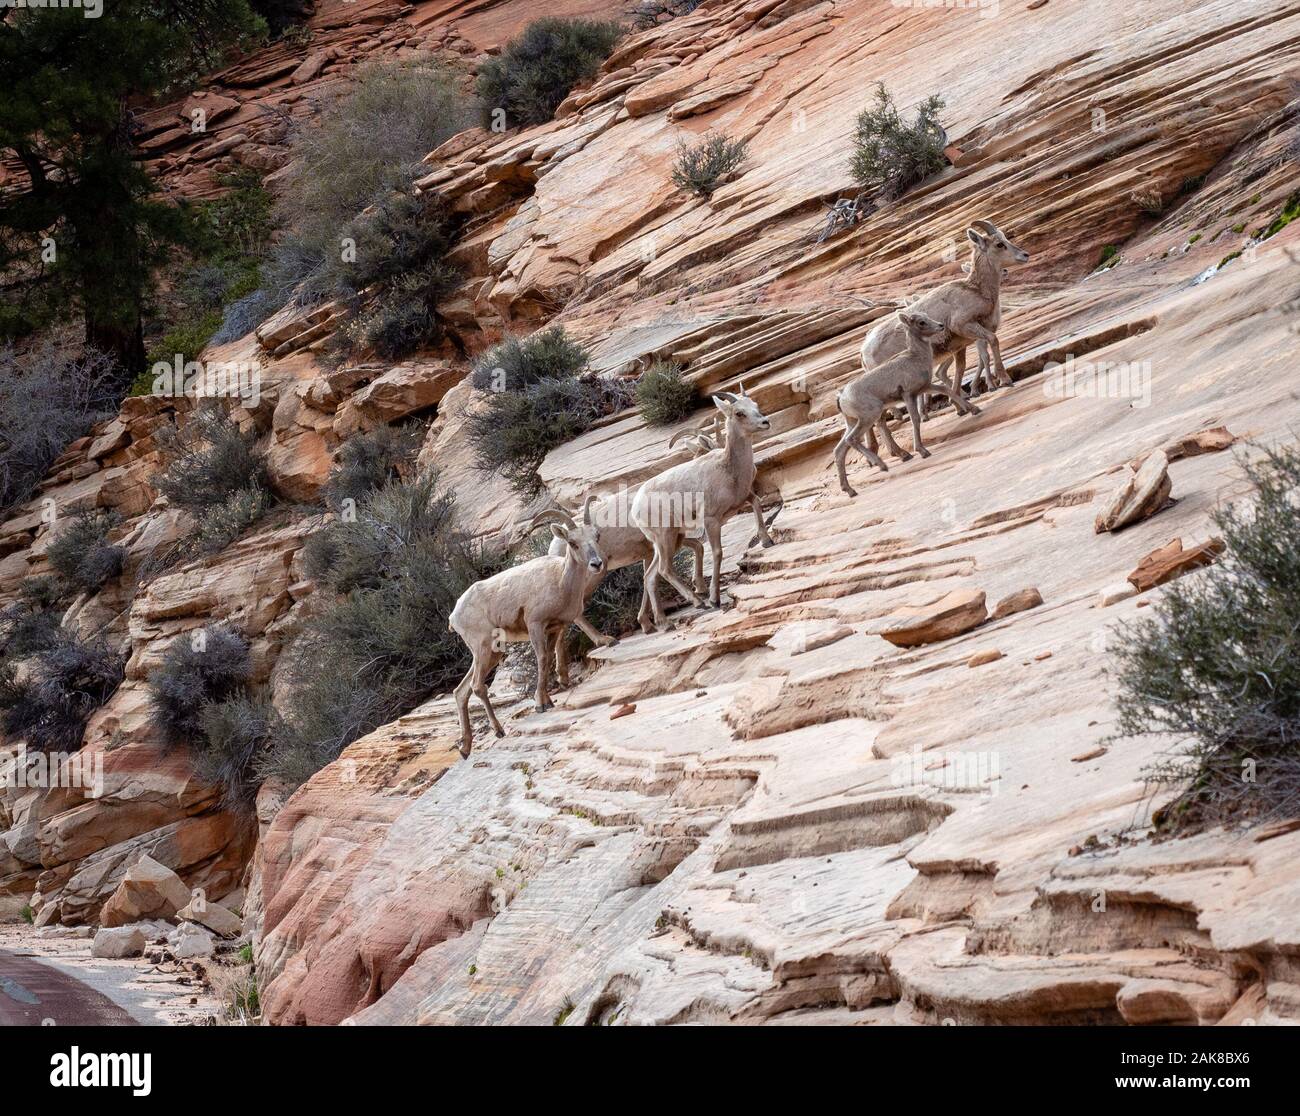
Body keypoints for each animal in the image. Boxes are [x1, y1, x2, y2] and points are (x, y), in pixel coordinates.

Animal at [448, 516, 608, 757]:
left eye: (596, 536)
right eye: (573, 543)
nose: (596, 564)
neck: (560, 580)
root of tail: (454, 615)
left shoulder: (554, 629)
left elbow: (549, 659)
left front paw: (547, 699)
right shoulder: (535, 625)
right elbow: (542, 659)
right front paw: (541, 705)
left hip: (490, 653)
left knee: (461, 691)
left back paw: (466, 748)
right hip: (483, 647)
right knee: (477, 686)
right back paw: (498, 731)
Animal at [631, 387, 772, 628]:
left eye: (755, 404)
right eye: (739, 413)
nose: (765, 422)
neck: (729, 470)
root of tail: (635, 507)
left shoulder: (742, 500)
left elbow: (756, 503)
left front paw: (766, 541)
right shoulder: (711, 520)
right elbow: (717, 553)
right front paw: (715, 598)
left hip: (671, 540)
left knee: (650, 576)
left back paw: (664, 623)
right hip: (665, 537)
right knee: (664, 569)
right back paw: (699, 602)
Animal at [833, 311, 977, 498]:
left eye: (926, 316)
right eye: (921, 322)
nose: (940, 326)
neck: (915, 358)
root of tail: (842, 396)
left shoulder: (925, 387)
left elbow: (947, 390)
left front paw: (973, 410)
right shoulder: (909, 395)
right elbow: (916, 419)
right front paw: (922, 451)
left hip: (852, 422)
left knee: (839, 450)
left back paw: (850, 490)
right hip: (868, 417)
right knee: (852, 440)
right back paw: (882, 465)